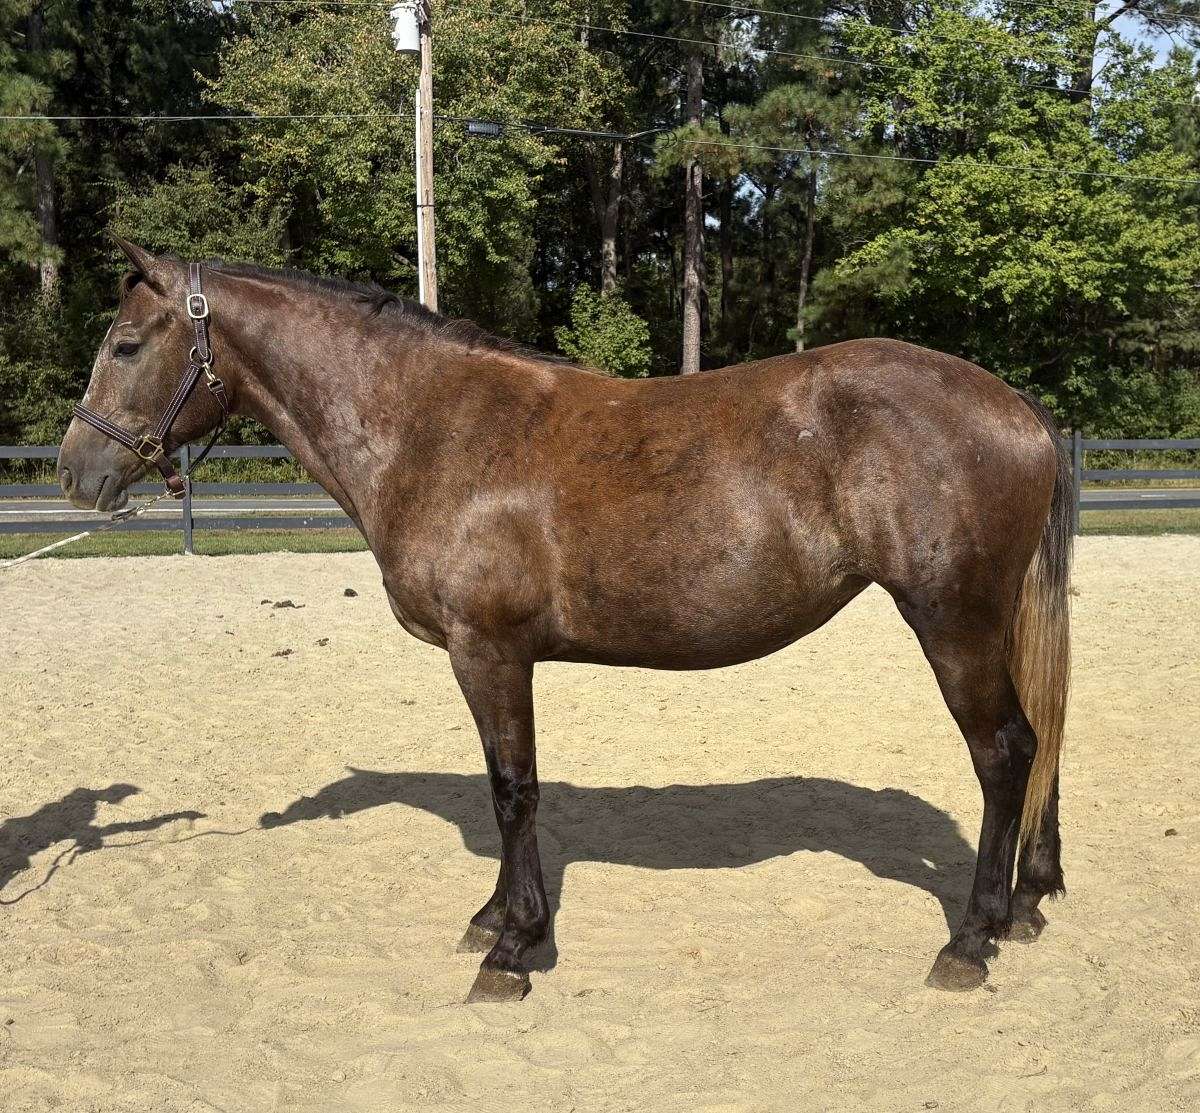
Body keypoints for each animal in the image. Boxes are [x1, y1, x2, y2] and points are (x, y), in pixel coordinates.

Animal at [58, 237, 1071, 1003]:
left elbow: (514, 790)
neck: (431, 426)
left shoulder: (490, 652)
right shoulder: (489, 659)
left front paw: (515, 948)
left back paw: (970, 939)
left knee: (1004, 752)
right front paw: (493, 920)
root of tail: (1015, 406)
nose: (73, 472)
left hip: (954, 623)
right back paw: (1025, 905)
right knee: (1039, 747)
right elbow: (504, 787)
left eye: (125, 346)